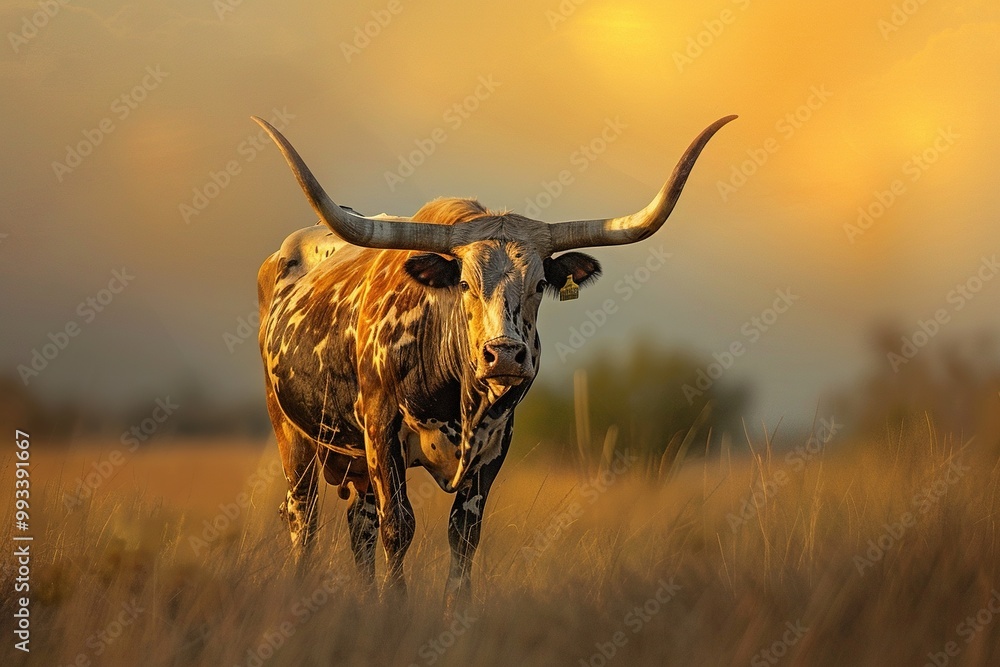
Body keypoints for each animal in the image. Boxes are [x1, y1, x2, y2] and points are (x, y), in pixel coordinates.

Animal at [253, 114, 736, 618]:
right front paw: (395, 608)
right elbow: (398, 527)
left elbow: (463, 534)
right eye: (464, 283)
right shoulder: (380, 431)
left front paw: (455, 610)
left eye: (541, 284)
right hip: (292, 435)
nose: (504, 354)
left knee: (358, 524)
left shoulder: (495, 445)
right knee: (305, 517)